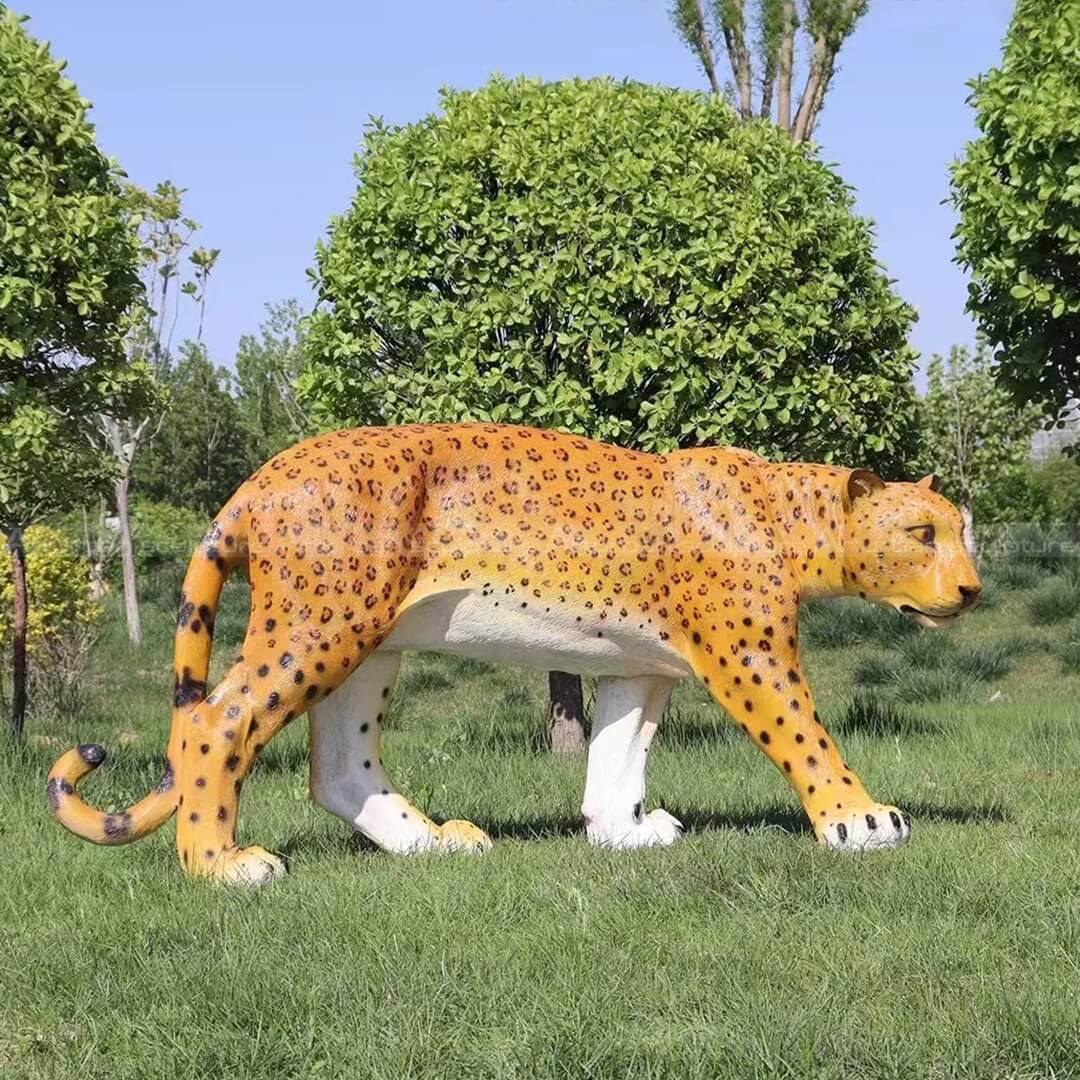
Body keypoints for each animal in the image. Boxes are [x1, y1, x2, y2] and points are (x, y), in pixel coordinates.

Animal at [47, 423, 981, 885]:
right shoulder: (750, 656)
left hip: (369, 645)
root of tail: (259, 478)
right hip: (320, 629)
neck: (791, 513)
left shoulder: (638, 664)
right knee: (214, 726)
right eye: (921, 534)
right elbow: (804, 737)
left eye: (962, 531)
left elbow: (618, 753)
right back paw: (221, 866)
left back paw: (432, 844)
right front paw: (859, 819)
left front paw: (620, 832)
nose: (972, 590)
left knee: (341, 766)